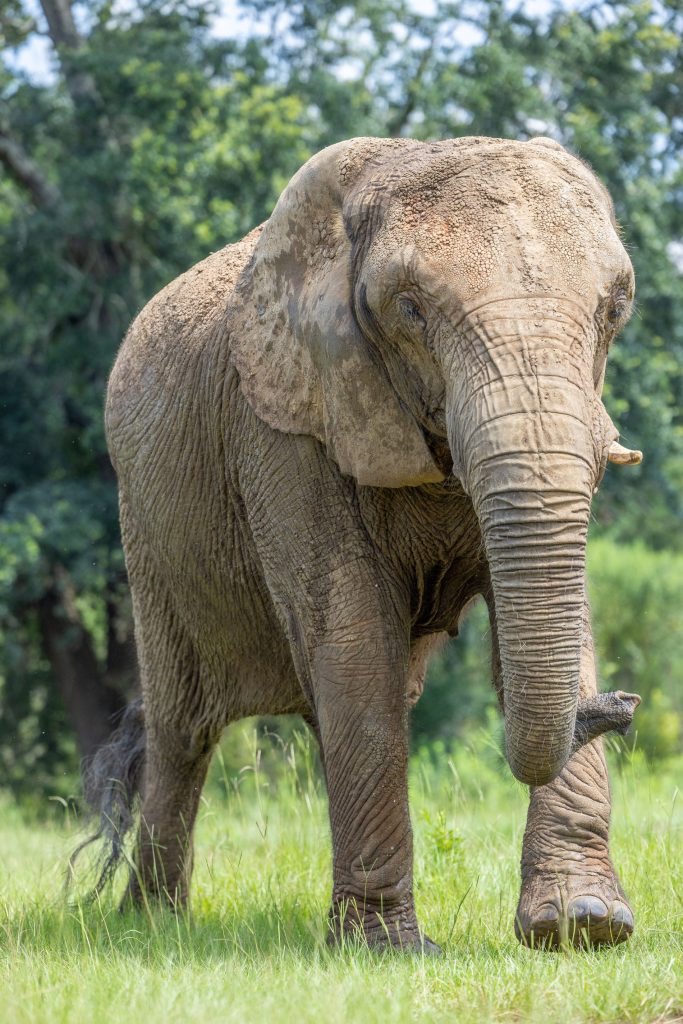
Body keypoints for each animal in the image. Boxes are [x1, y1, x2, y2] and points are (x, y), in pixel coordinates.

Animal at [88, 135, 643, 952]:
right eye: (408, 308)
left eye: (615, 307)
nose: (623, 704)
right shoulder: (285, 421)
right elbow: (353, 635)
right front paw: (388, 951)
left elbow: (557, 619)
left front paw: (583, 927)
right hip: (147, 534)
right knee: (183, 731)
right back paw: (152, 926)